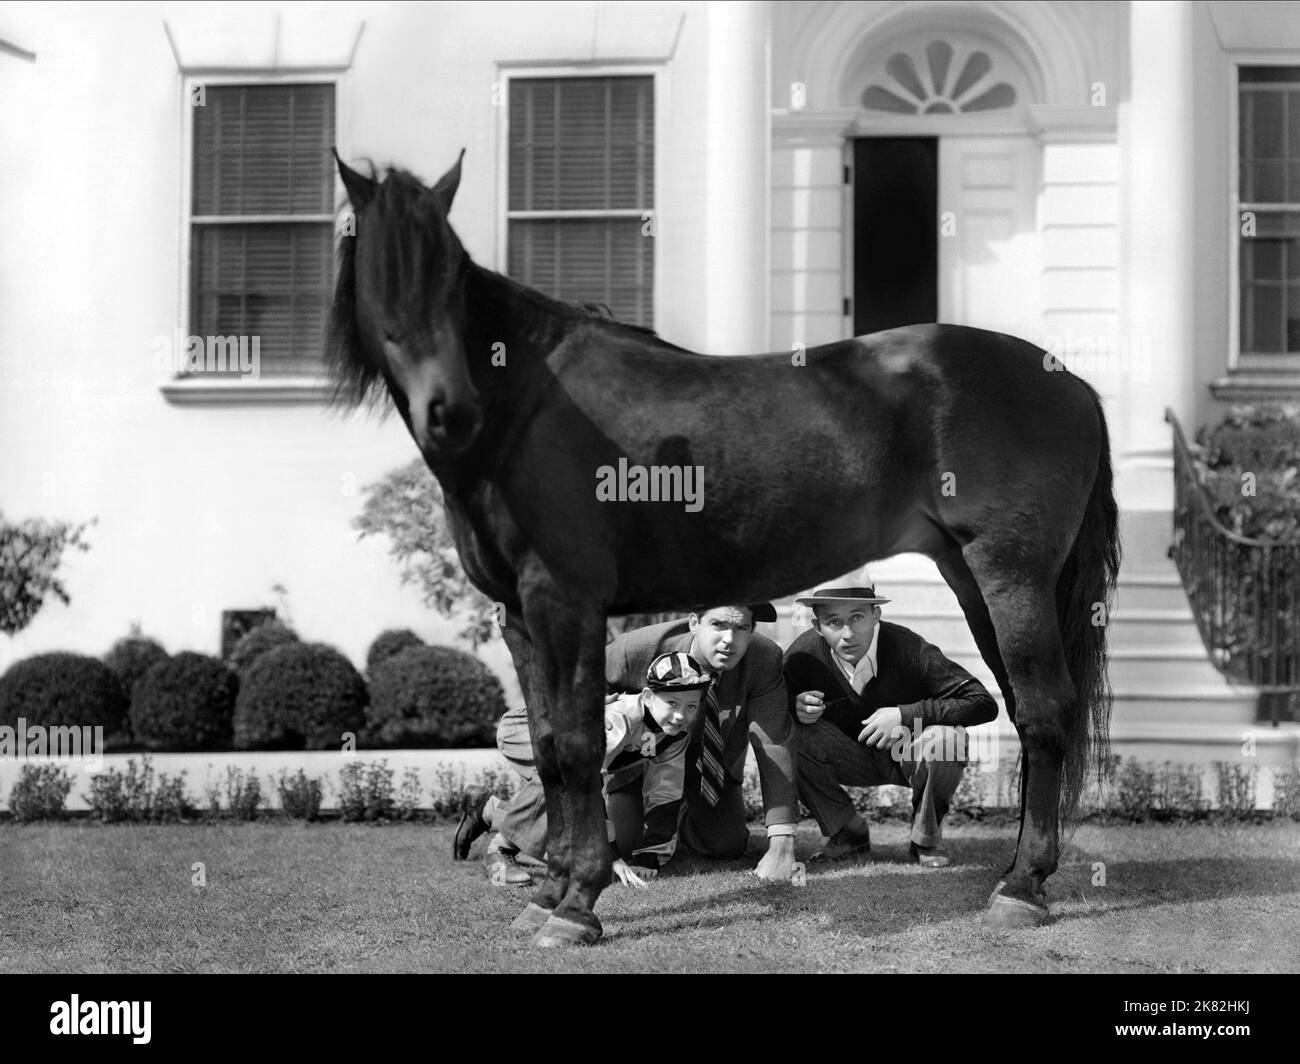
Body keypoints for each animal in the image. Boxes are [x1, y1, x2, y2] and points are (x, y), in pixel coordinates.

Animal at [326, 151, 1120, 946]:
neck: (528, 407)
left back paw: (1022, 887)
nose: (448, 410)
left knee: (1043, 710)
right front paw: (547, 893)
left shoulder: (565, 605)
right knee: (1022, 707)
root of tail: (1073, 382)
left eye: (448, 272)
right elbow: (549, 747)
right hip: (971, 576)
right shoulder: (519, 616)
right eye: (377, 273)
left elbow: (579, 746)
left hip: (1011, 576)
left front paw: (577, 904)